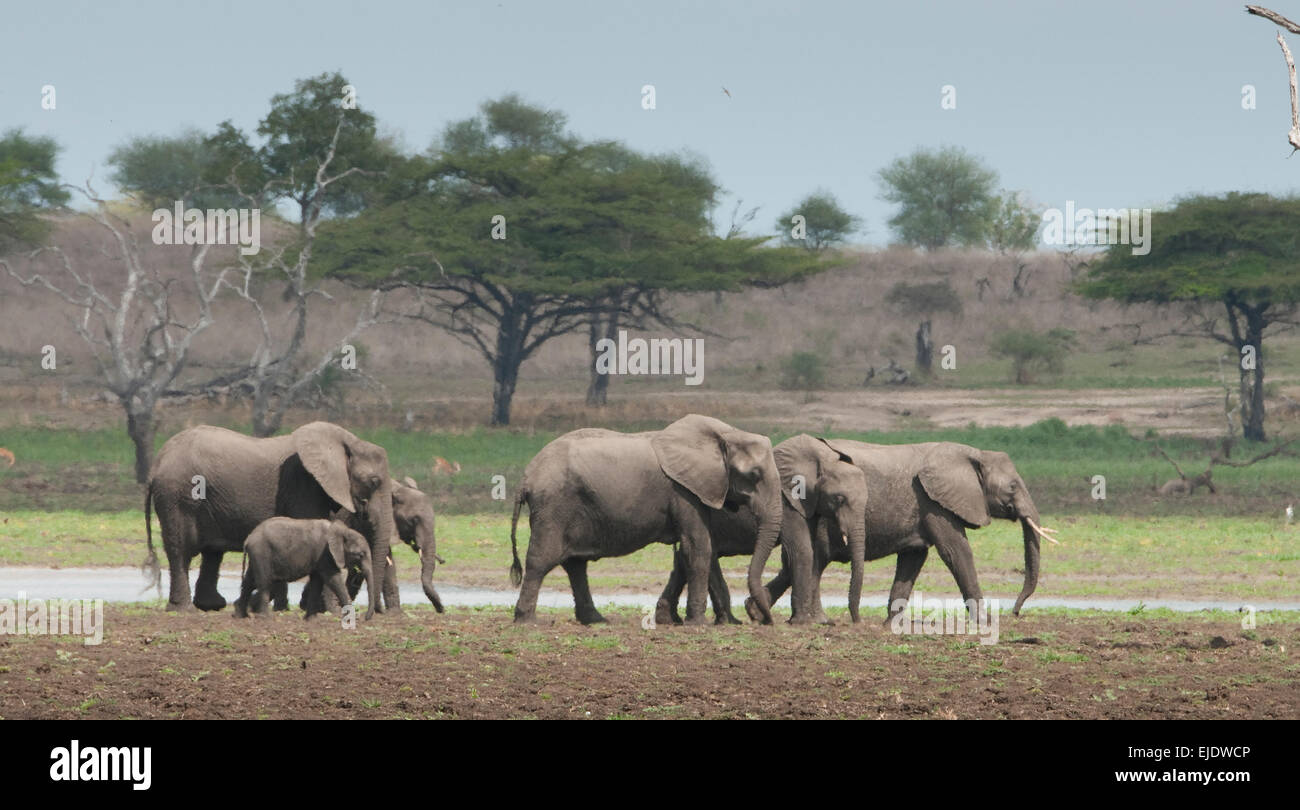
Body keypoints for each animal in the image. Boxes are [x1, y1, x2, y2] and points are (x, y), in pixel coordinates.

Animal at [233, 518, 377, 620]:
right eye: (360, 555)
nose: (365, 618)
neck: (342, 531)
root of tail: (249, 538)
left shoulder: (320, 558)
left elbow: (317, 582)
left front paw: (311, 620)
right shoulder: (325, 553)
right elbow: (333, 579)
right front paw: (353, 617)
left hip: (257, 556)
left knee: (249, 582)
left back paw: (241, 616)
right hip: (261, 553)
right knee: (264, 582)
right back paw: (265, 618)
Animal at [508, 414, 783, 625]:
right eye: (754, 474)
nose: (764, 620)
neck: (727, 434)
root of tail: (526, 478)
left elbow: (691, 549)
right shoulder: (684, 490)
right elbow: (698, 547)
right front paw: (697, 624)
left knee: (575, 565)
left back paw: (596, 621)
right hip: (554, 508)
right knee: (542, 560)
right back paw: (528, 622)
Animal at [655, 434, 869, 625]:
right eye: (840, 499)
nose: (856, 621)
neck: (821, 459)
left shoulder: (809, 504)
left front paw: (756, 611)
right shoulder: (788, 501)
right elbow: (802, 550)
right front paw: (800, 622)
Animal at [748, 441, 1054, 623]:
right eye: (1012, 487)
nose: (1015, 611)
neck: (974, 454)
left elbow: (913, 558)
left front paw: (892, 623)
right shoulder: (933, 502)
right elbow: (956, 551)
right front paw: (985, 622)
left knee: (801, 563)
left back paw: (756, 611)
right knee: (812, 561)